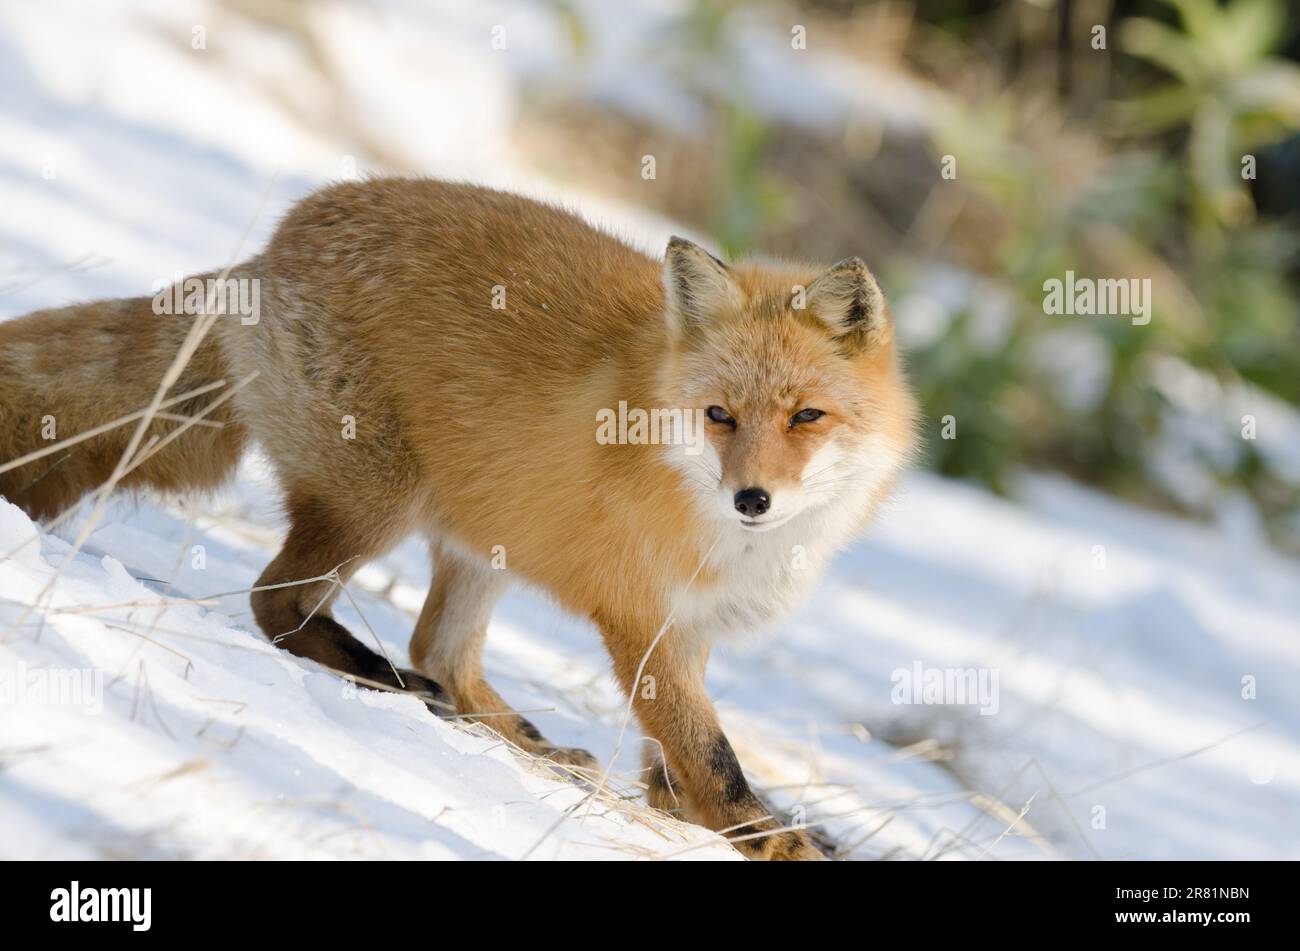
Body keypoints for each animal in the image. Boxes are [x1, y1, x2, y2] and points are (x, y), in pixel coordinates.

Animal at [0, 178, 916, 860]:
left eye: (806, 417)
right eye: (720, 416)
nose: (751, 498)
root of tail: (280, 239)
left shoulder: (691, 627)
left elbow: (676, 753)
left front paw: (687, 808)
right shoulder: (640, 615)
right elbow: (709, 750)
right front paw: (766, 837)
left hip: (483, 541)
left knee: (438, 645)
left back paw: (526, 739)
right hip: (377, 499)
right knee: (280, 603)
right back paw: (390, 682)